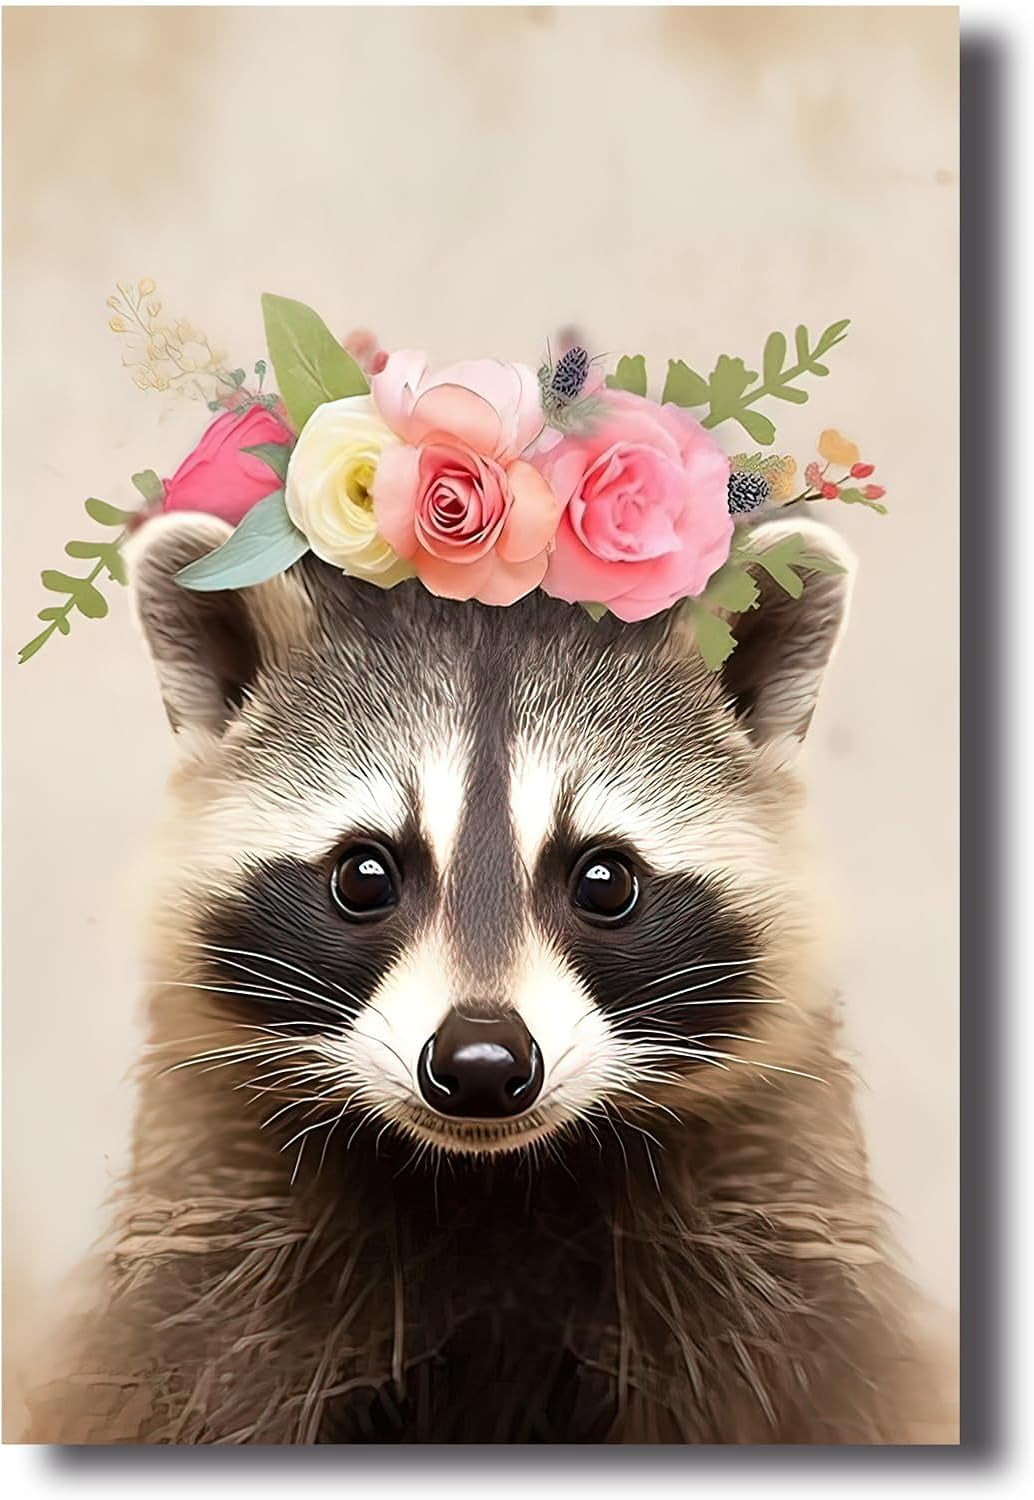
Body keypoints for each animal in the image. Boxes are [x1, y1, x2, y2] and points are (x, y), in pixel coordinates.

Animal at [25, 511, 955, 1444]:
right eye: (364, 875)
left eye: (604, 881)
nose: (480, 1063)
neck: (490, 1179)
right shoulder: (207, 1254)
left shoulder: (780, 1254)